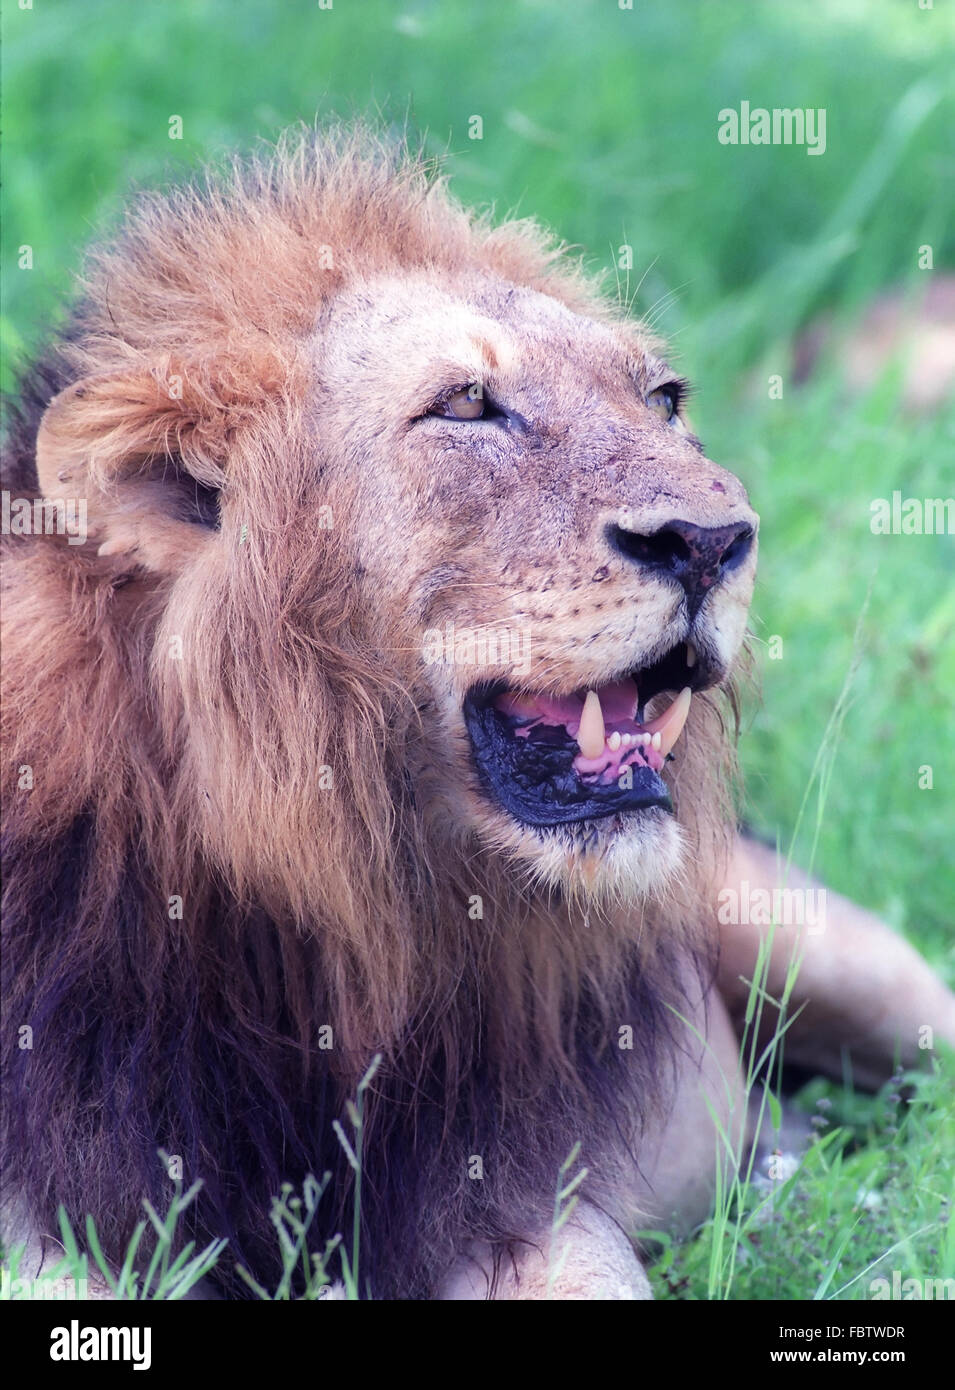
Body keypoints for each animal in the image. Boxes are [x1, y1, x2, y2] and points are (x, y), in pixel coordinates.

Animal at [2, 126, 953, 1301]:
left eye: (663, 400)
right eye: (464, 406)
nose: (715, 539)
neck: (333, 897)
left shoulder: (520, 1197)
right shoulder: (59, 1205)